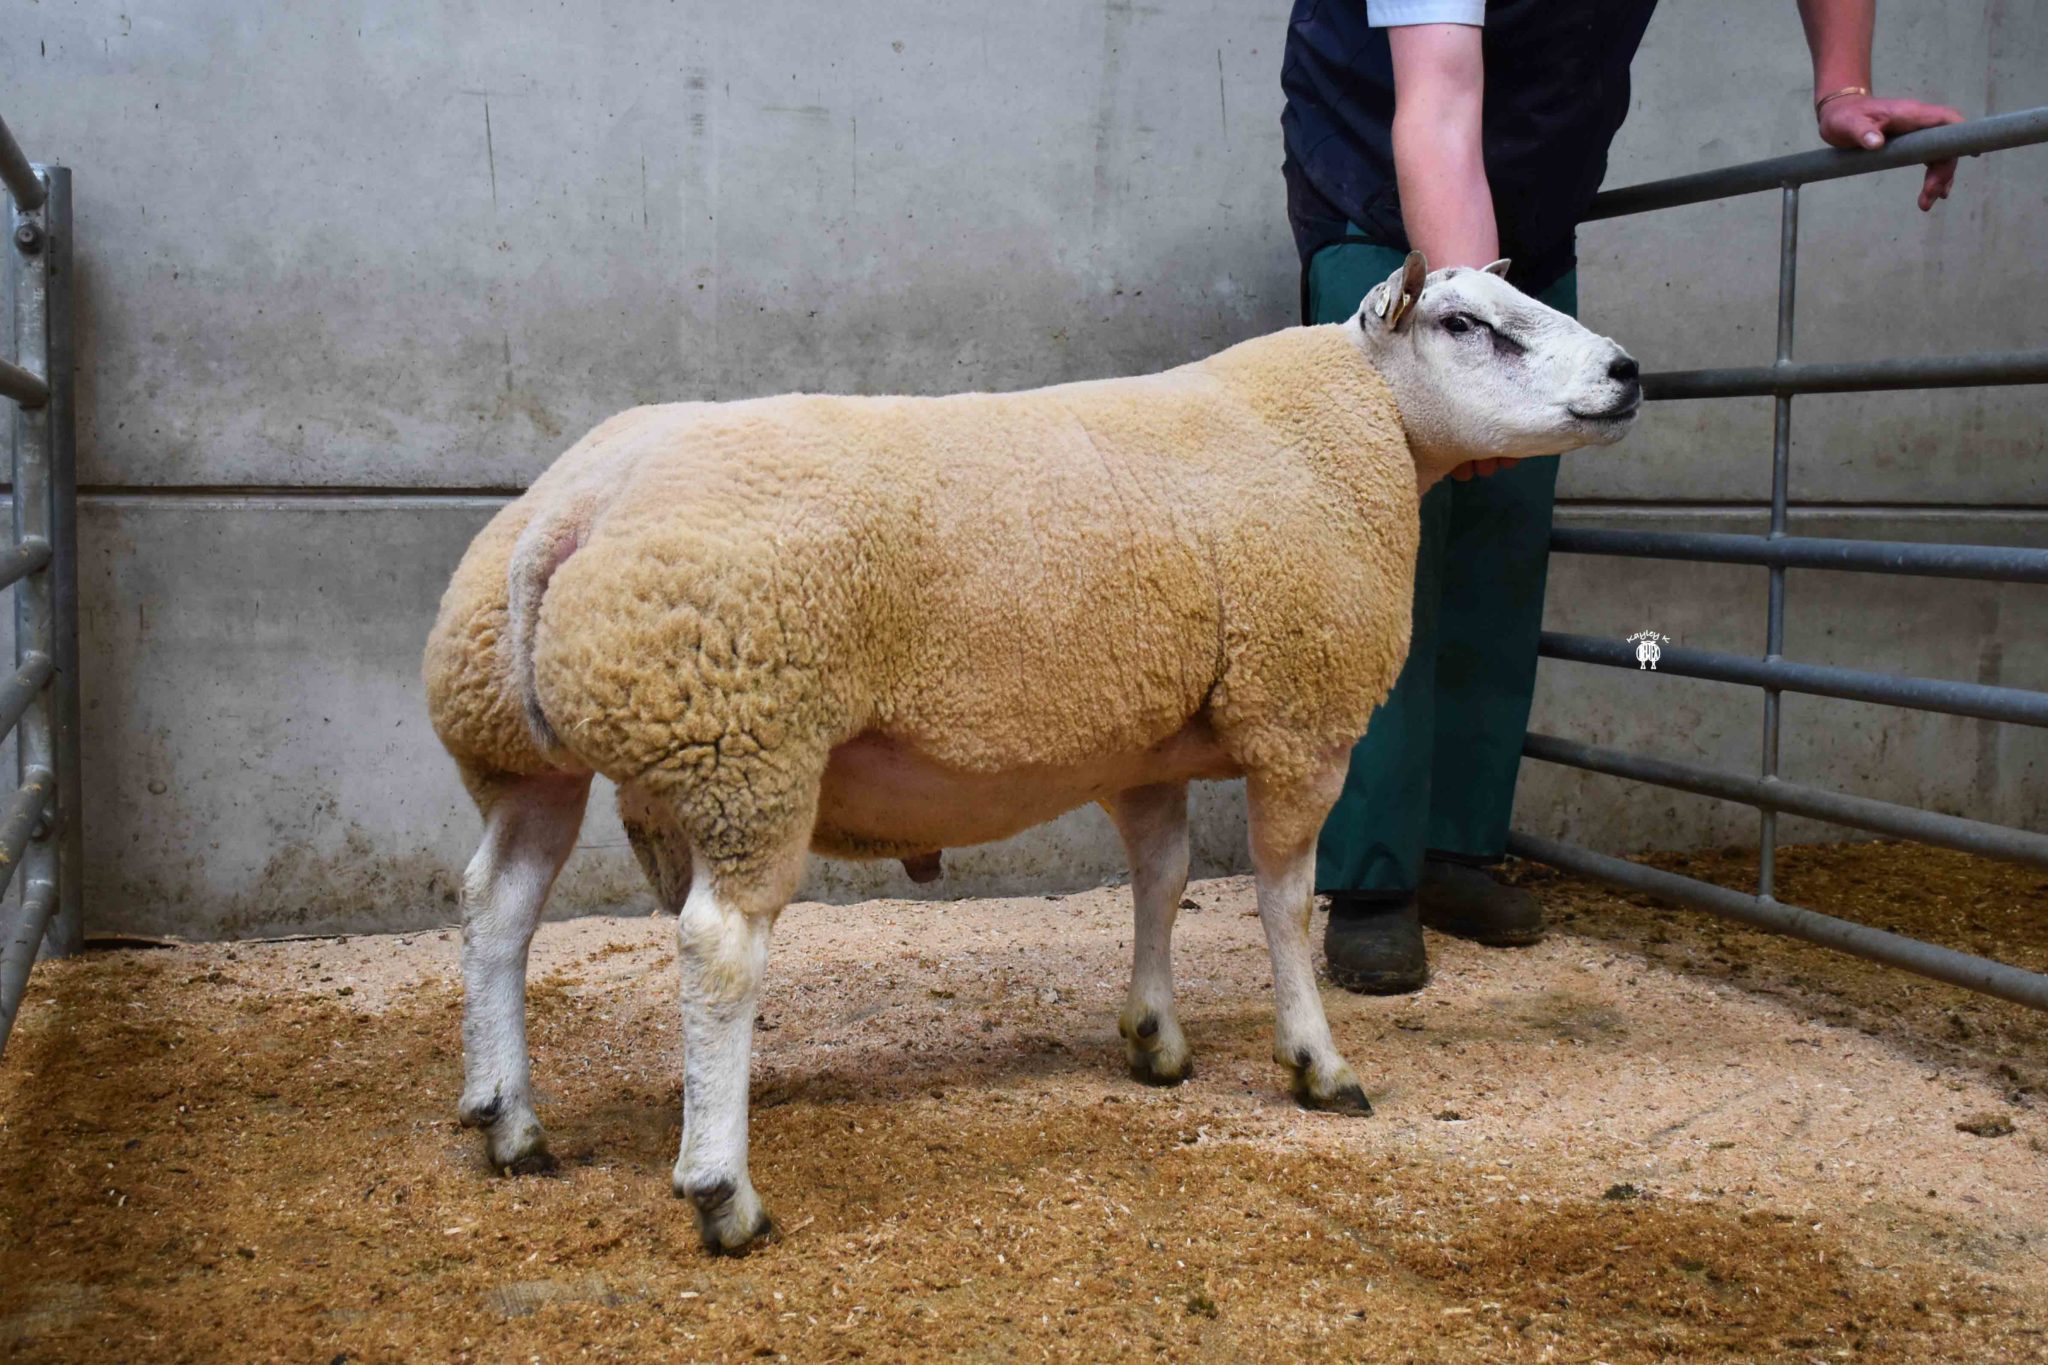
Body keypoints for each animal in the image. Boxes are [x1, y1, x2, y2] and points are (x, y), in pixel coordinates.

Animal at [423, 252, 1641, 1254]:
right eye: (1467, 324)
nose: (1628, 371)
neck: (1350, 430)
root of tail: (575, 506)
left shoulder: (1146, 745)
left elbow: (1161, 879)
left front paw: (1155, 1040)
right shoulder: (1298, 722)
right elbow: (1283, 901)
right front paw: (1316, 1062)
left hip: (525, 750)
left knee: (497, 906)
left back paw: (509, 1123)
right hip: (746, 744)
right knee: (717, 948)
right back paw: (724, 1193)